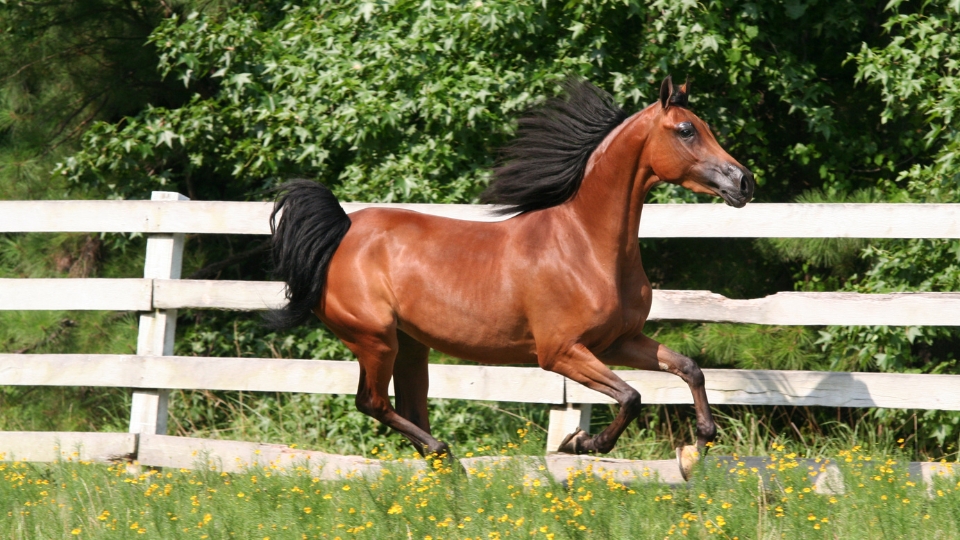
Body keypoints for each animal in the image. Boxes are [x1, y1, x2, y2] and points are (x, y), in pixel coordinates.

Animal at [267, 76, 754, 479]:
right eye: (687, 130)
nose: (744, 181)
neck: (586, 245)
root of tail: (342, 231)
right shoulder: (561, 353)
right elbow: (632, 397)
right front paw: (579, 442)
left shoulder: (618, 341)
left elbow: (690, 370)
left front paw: (695, 450)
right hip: (375, 340)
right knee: (373, 402)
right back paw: (450, 458)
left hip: (410, 345)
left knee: (408, 406)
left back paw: (446, 472)